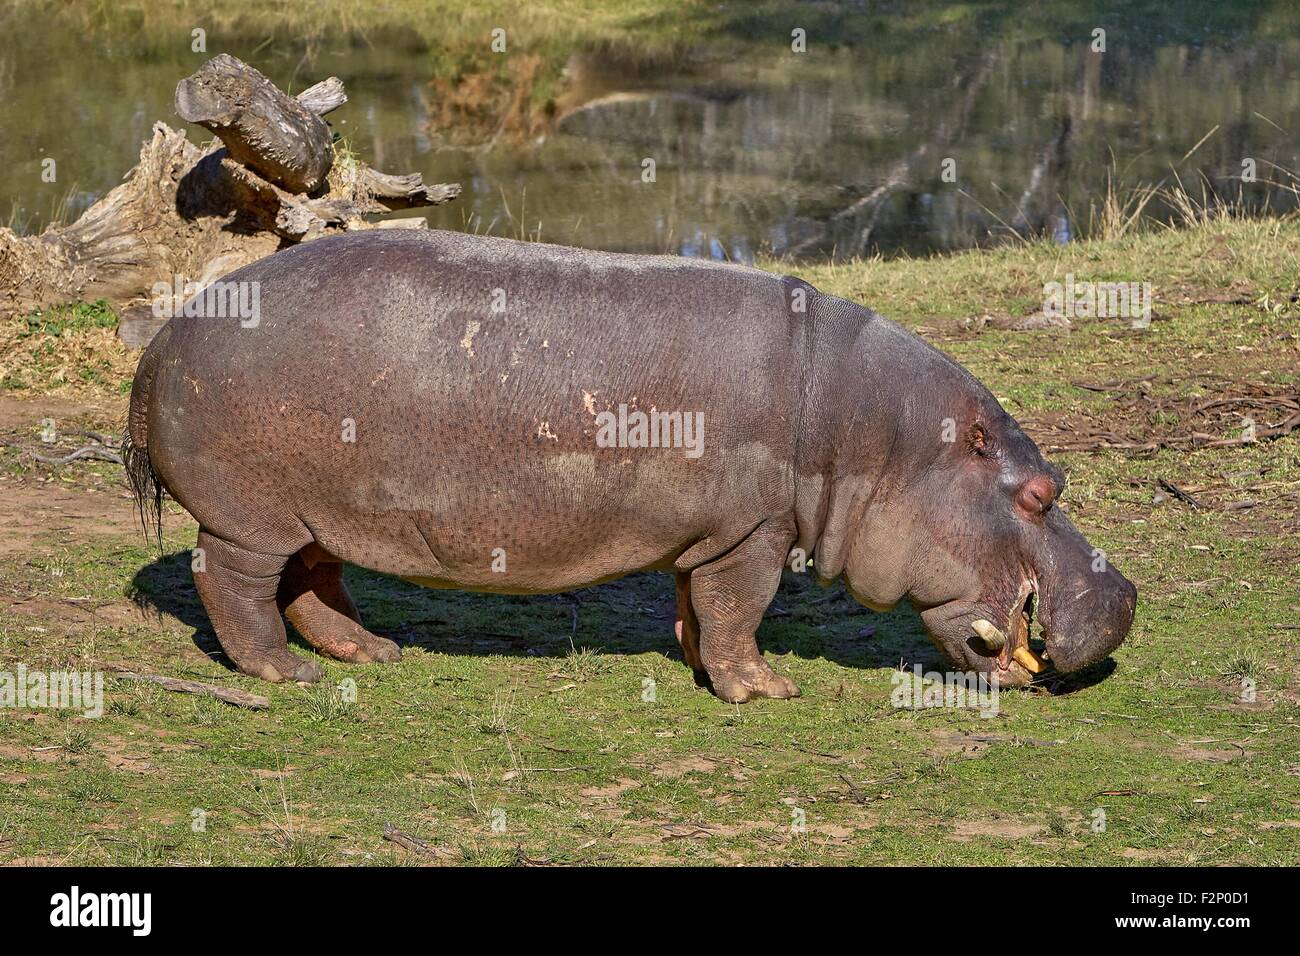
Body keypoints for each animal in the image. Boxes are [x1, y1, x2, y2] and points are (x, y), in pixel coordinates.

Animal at [124, 229, 1136, 702]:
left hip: (316, 512)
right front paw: (767, 690)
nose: (1124, 597)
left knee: (314, 585)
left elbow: (699, 604)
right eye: (1041, 493)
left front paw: (700, 666)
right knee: (235, 587)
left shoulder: (714, 531)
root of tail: (166, 331)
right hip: (248, 516)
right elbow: (741, 608)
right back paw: (283, 678)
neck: (880, 437)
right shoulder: (754, 532)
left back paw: (374, 652)